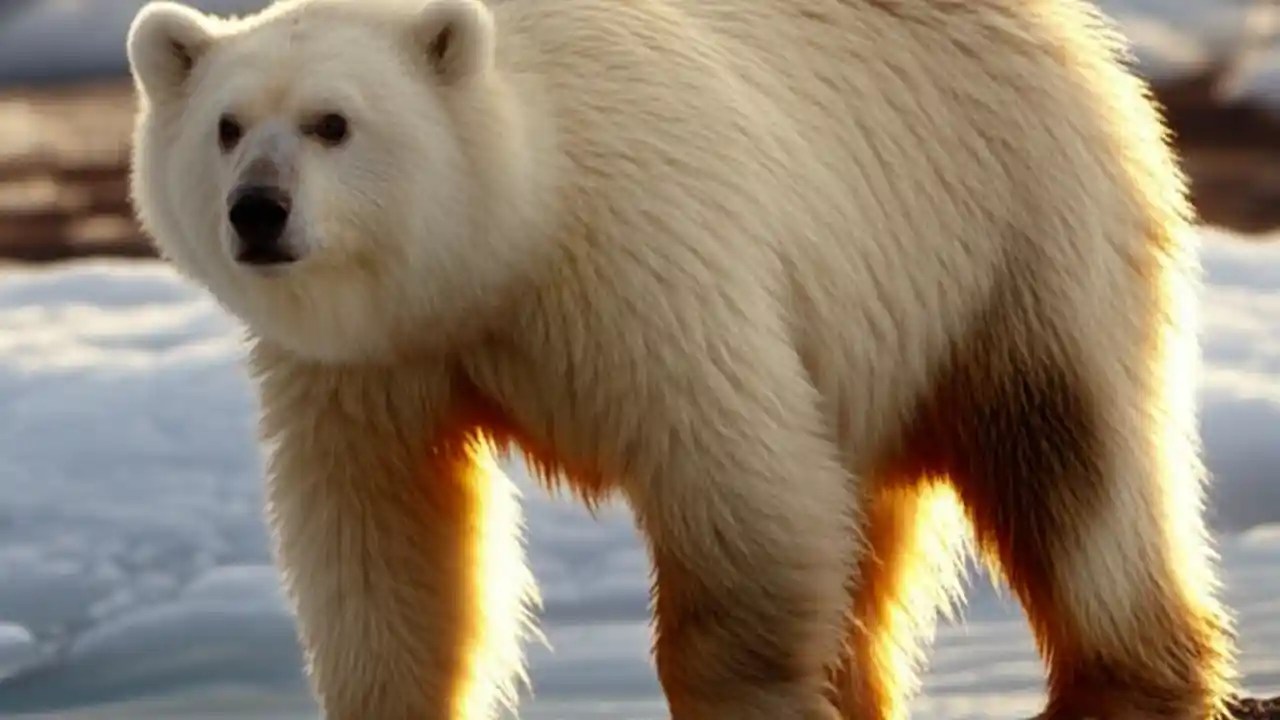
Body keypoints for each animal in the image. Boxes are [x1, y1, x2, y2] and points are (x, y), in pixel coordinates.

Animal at [125, 0, 1239, 718]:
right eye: (227, 126)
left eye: (332, 123)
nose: (257, 211)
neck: (506, 233)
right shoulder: (368, 366)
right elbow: (381, 540)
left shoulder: (636, 269)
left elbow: (740, 481)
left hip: (1013, 231)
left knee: (1073, 468)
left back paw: (1132, 676)